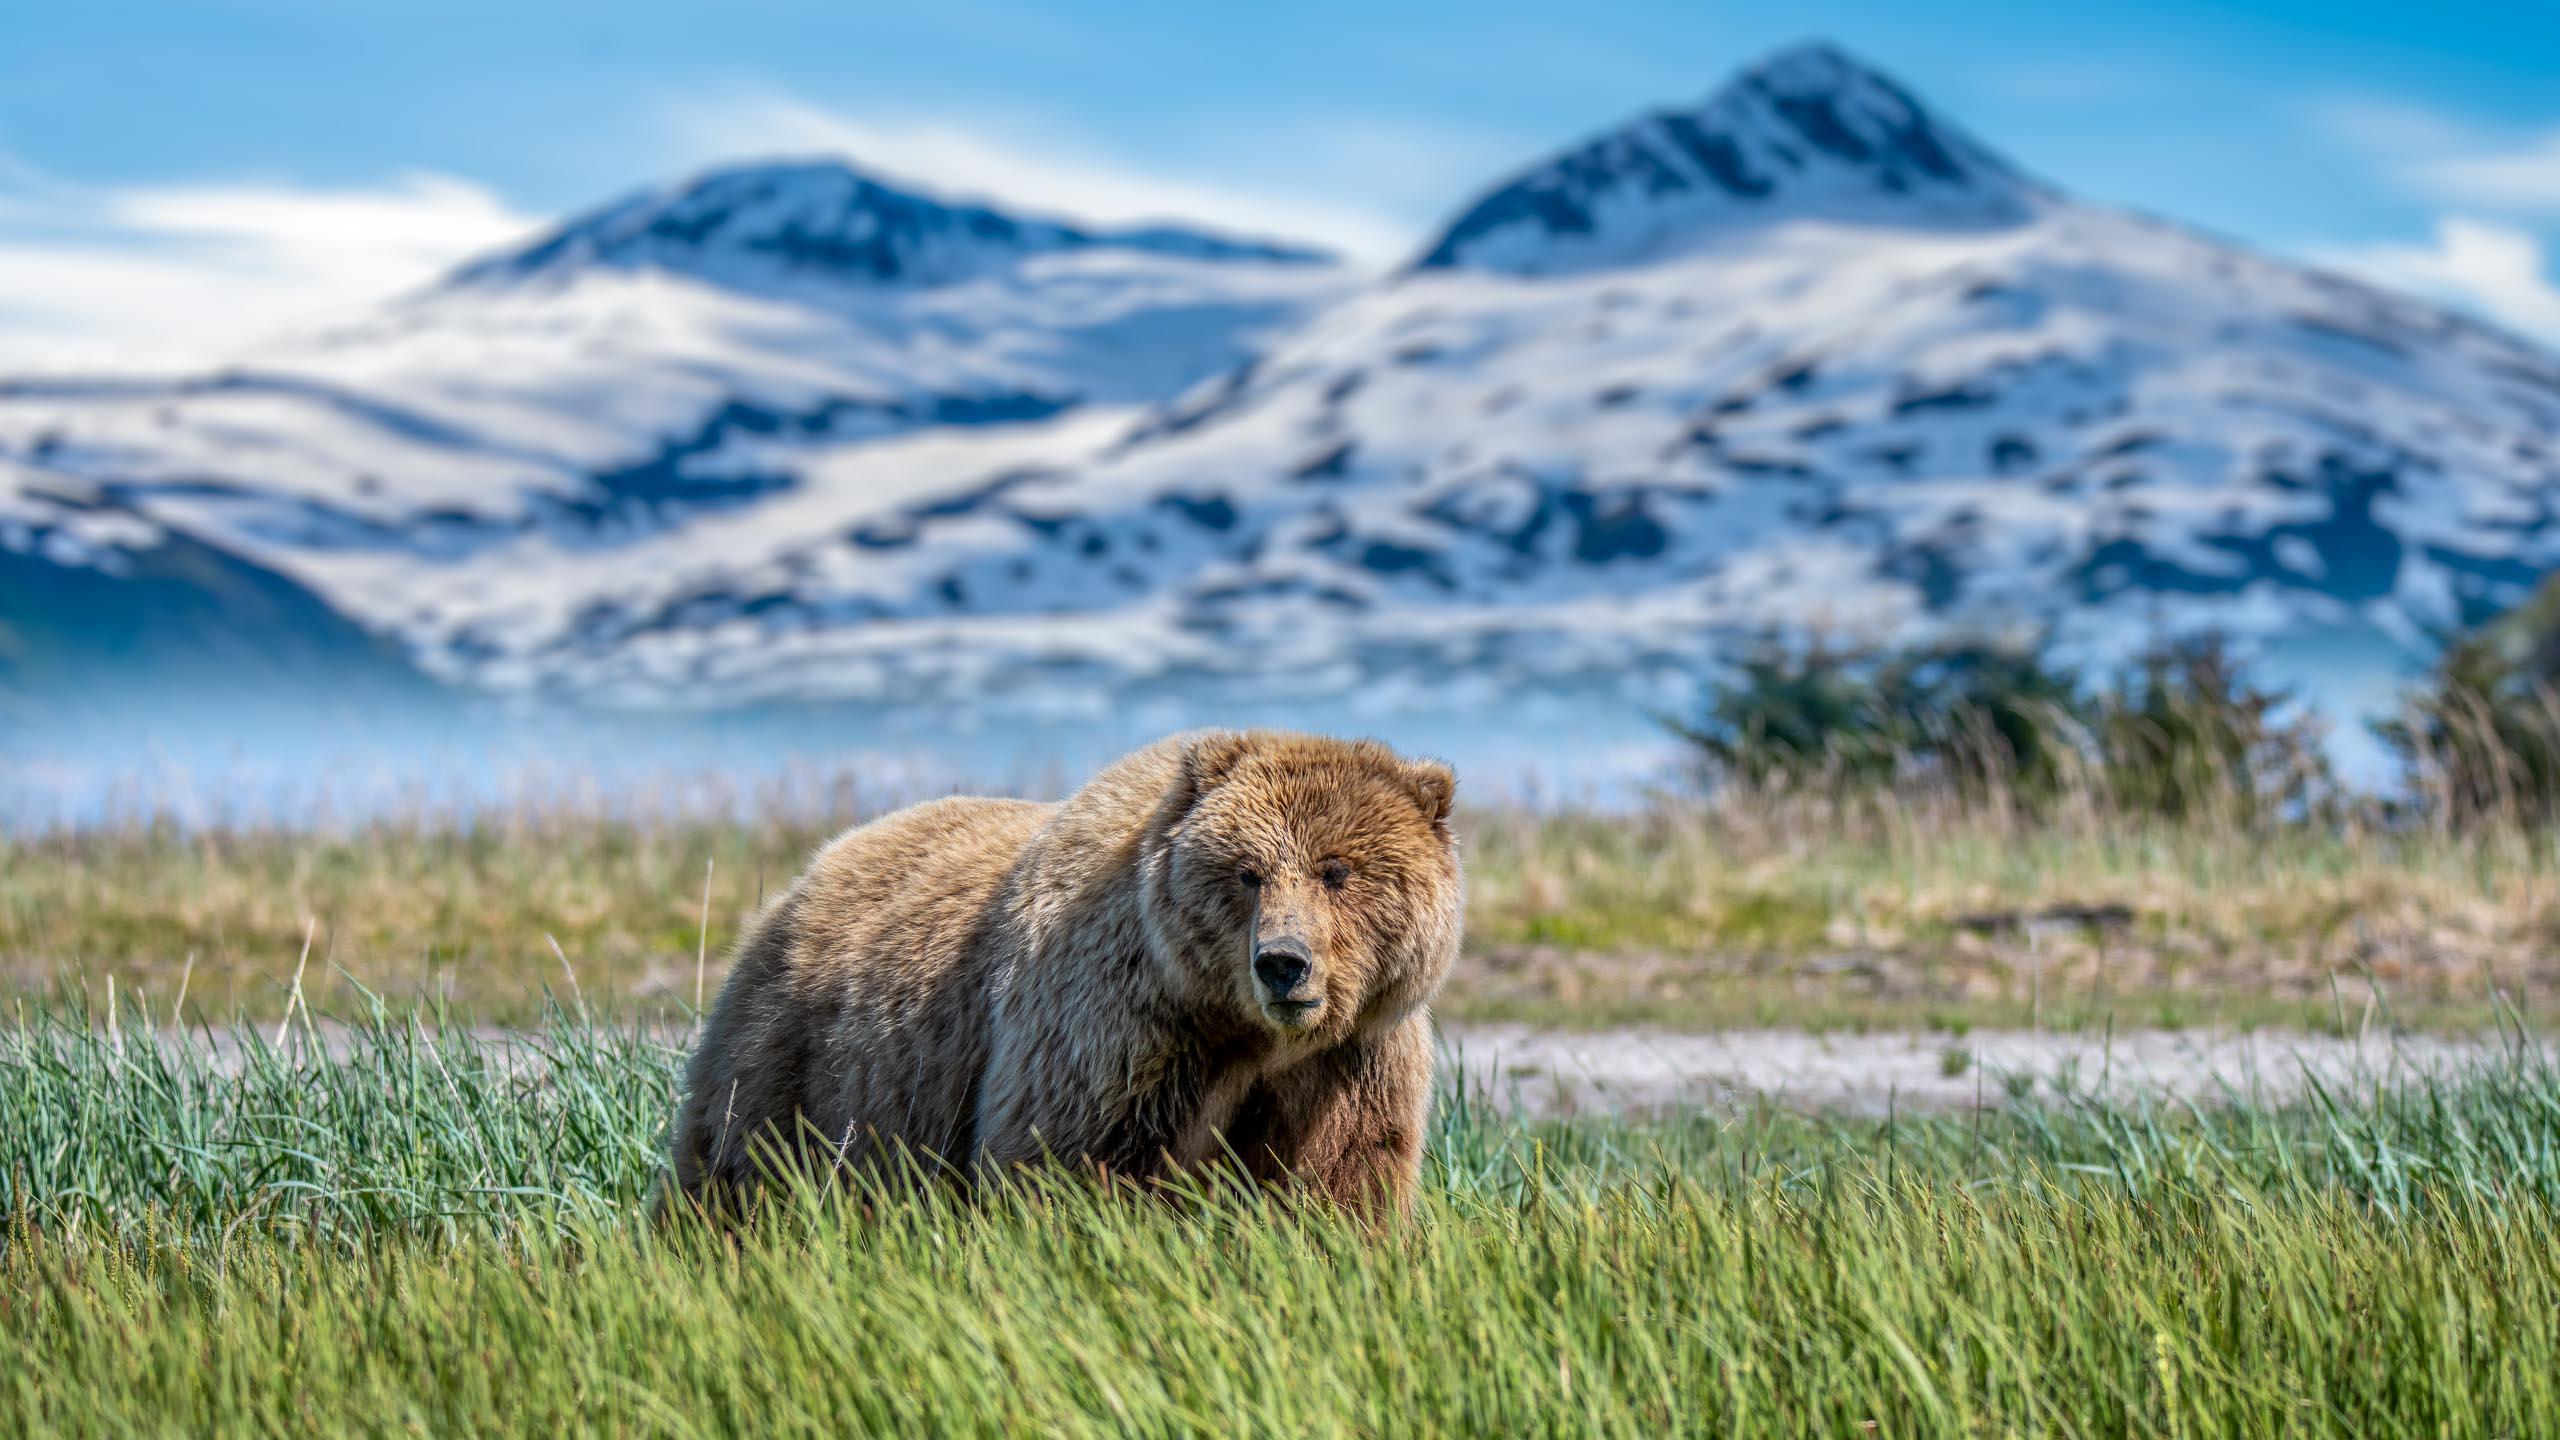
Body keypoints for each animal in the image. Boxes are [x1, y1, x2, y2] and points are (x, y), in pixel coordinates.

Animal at [664, 729, 1461, 1220]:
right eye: (1247, 872)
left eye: (1338, 871)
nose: (1283, 964)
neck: (1240, 1030)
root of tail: (813, 868)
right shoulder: (1116, 1029)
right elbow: (1067, 1163)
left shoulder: (1350, 1060)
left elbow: (1340, 1180)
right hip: (806, 1062)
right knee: (735, 1167)